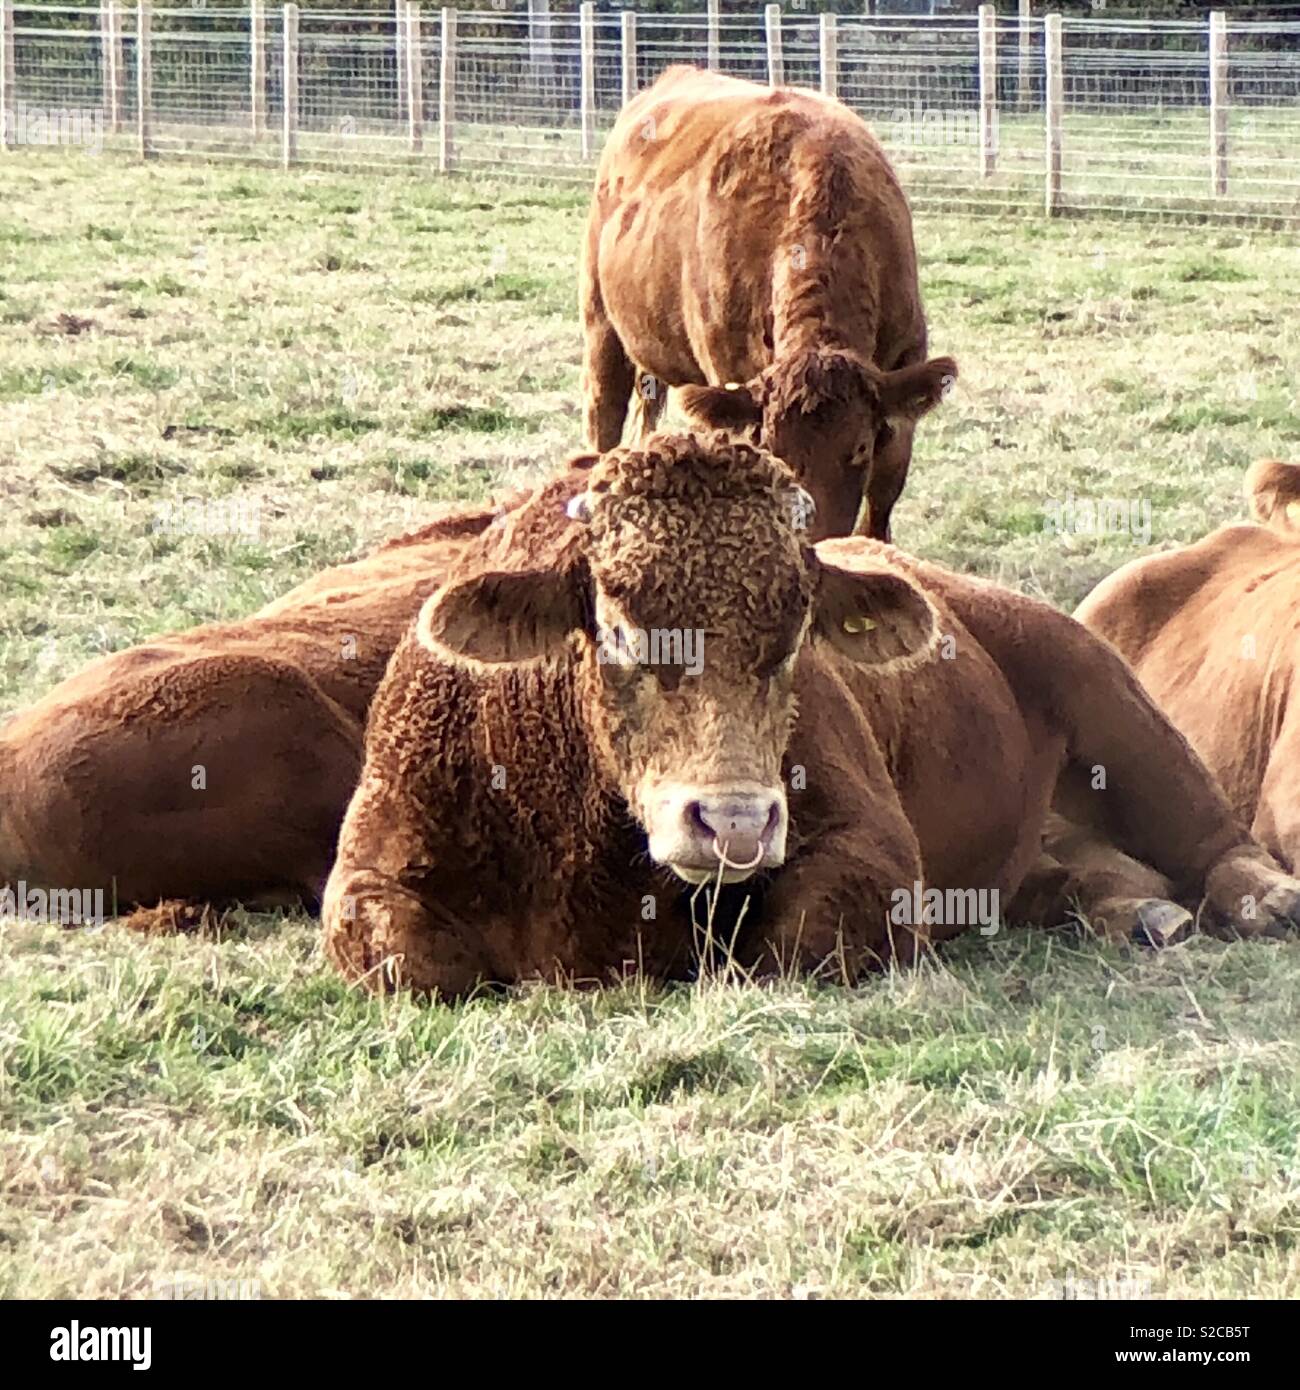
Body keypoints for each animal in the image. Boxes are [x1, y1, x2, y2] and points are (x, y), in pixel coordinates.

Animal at [581, 65, 956, 544]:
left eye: (860, 447)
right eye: (775, 452)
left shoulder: (902, 382)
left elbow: (881, 501)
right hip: (601, 325)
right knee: (603, 420)